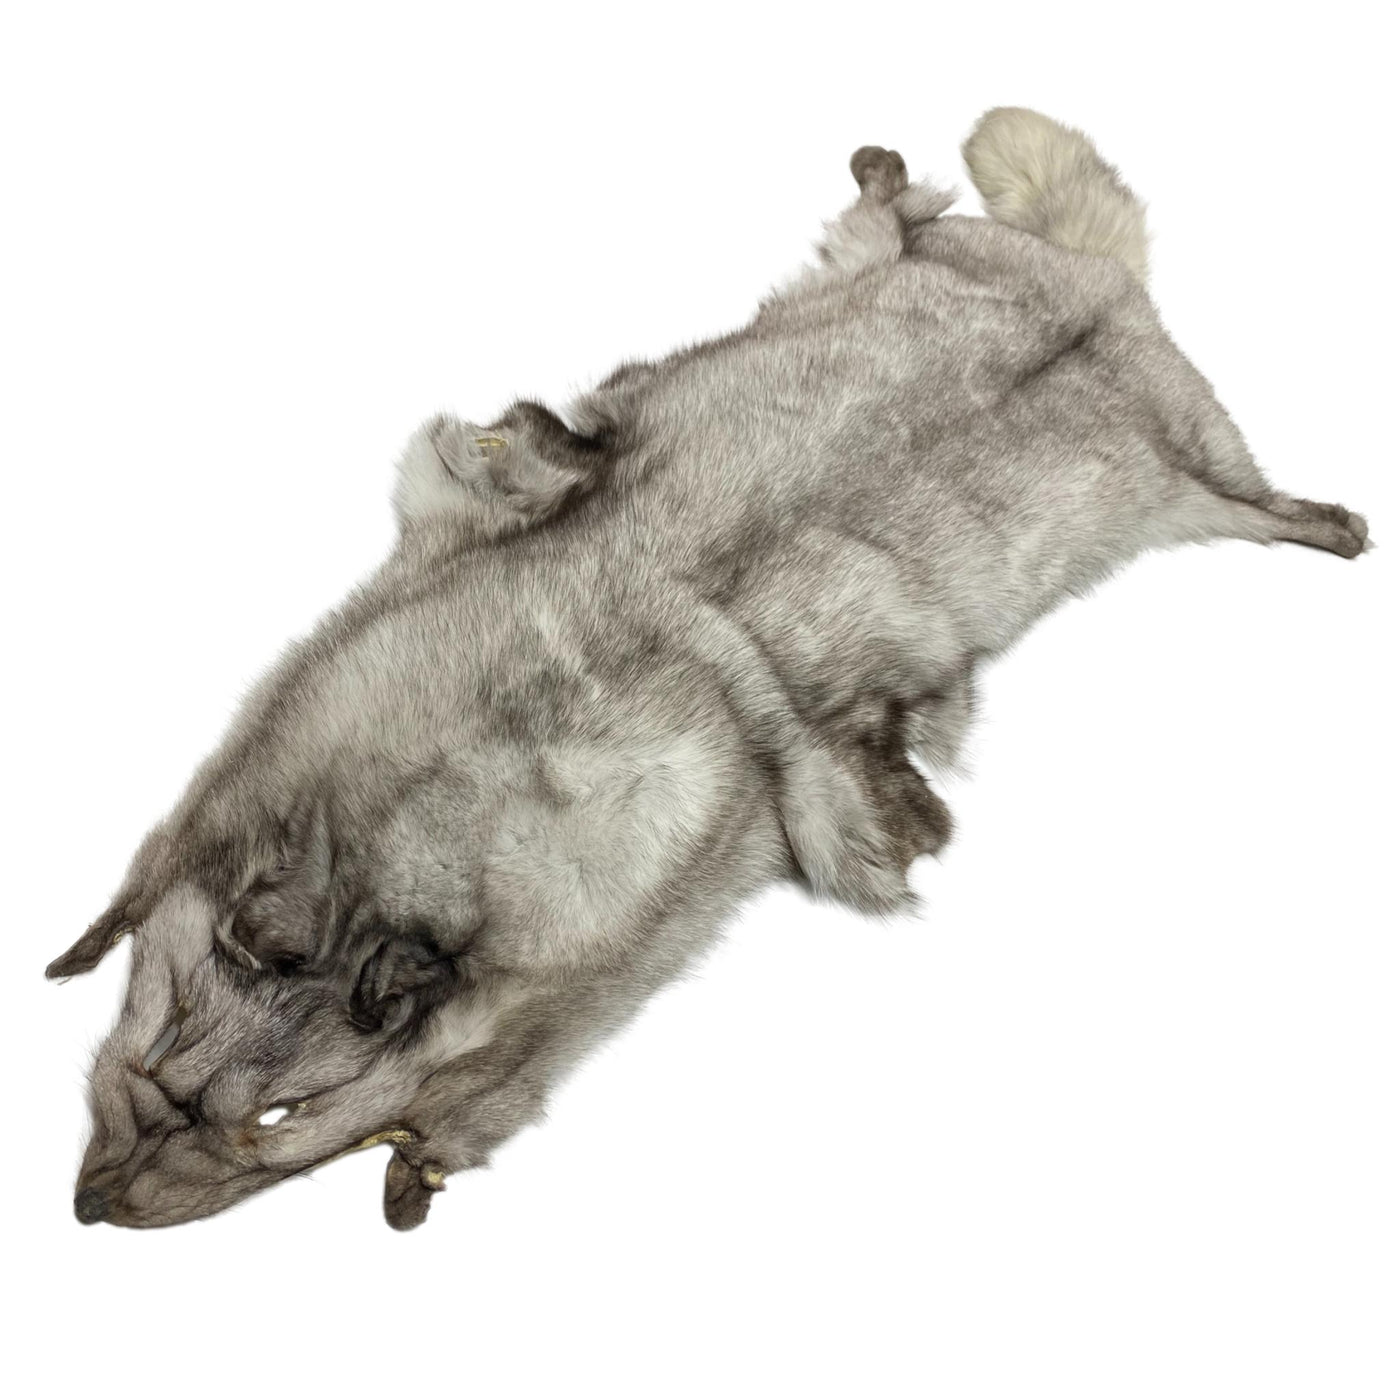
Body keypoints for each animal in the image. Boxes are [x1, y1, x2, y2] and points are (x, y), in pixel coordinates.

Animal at [51, 108, 1368, 1230]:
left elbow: (490, 1087)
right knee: (886, 220)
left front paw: (418, 1157)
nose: (89, 1206)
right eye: (157, 1037)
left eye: (278, 1118)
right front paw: (88, 940)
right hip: (899, 278)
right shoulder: (318, 682)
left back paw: (1322, 522)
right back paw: (881, 176)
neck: (444, 816)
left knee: (1245, 493)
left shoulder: (613, 954)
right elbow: (152, 861)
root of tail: (1098, 285)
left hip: (1189, 453)